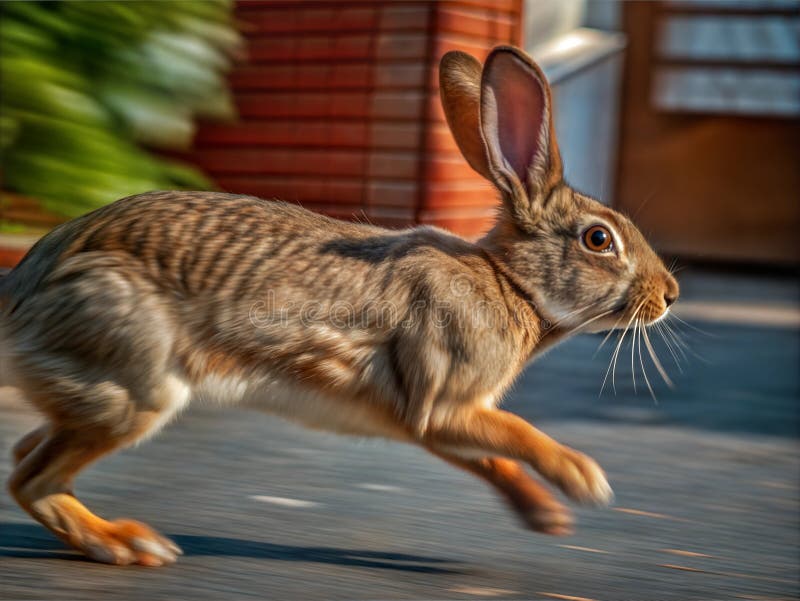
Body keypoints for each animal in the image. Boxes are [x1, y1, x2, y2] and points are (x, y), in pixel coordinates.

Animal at [0, 45, 679, 567]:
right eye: (599, 239)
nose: (669, 294)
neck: (510, 282)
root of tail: (21, 297)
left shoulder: (432, 419)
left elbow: (492, 458)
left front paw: (546, 517)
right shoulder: (444, 400)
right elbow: (518, 434)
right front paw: (583, 479)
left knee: (26, 455)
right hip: (137, 383)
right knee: (30, 479)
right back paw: (128, 544)